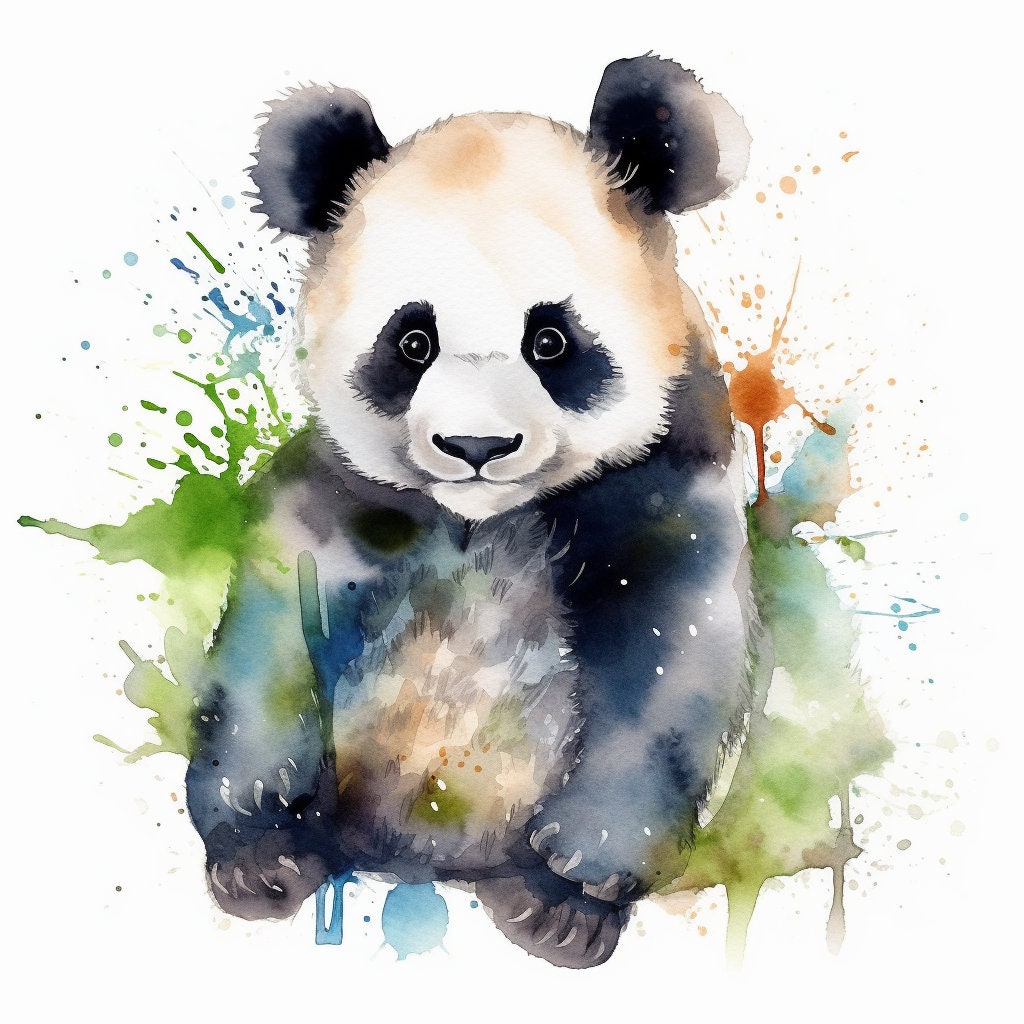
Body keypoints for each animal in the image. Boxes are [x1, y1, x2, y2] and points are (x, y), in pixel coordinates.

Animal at [185, 54, 756, 968]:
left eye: (551, 341)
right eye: (411, 342)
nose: (474, 445)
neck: (484, 517)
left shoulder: (663, 482)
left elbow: (672, 654)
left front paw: (573, 878)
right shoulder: (338, 498)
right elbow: (270, 640)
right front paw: (257, 843)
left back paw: (553, 915)